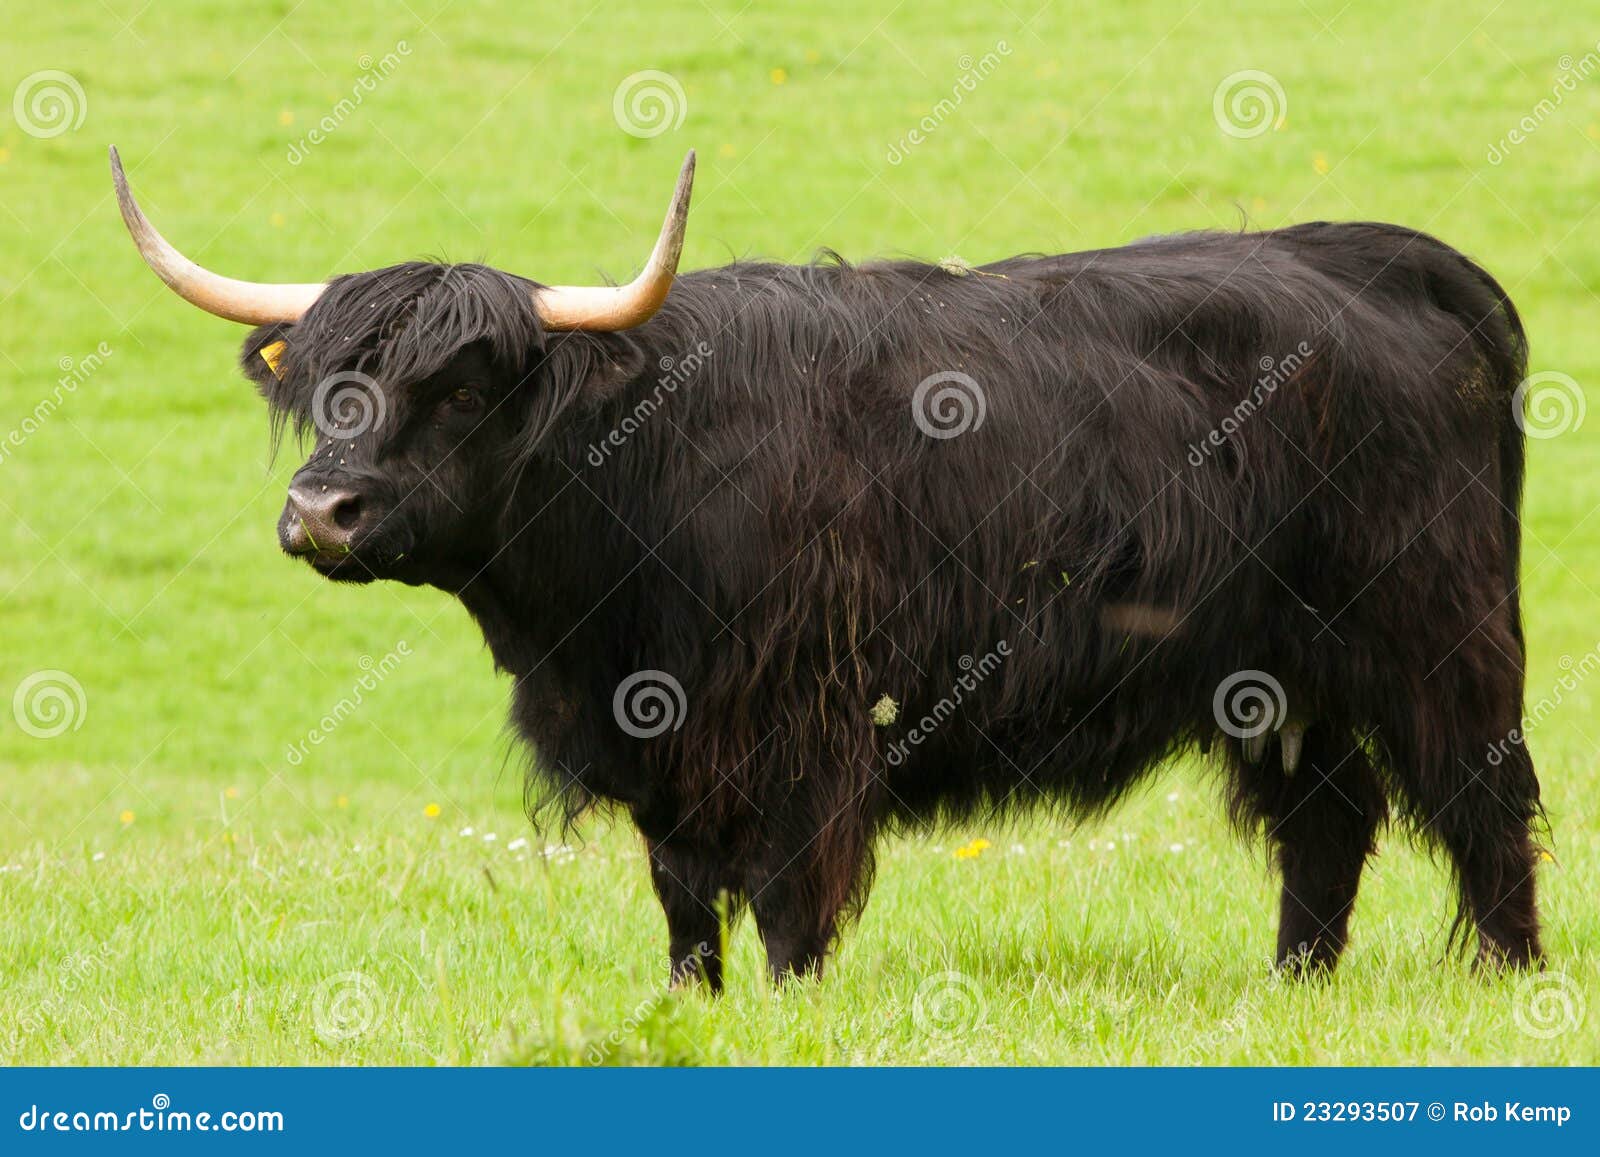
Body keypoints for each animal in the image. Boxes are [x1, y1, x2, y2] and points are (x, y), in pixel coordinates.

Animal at [111, 145, 1544, 989]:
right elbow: (683, 895)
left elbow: (791, 894)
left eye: (462, 387)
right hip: (1278, 672)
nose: (324, 511)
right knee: (1328, 818)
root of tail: (1370, 254)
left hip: (1436, 634)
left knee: (1481, 802)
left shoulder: (802, 721)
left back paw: (1504, 977)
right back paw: (1296, 984)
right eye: (330, 389)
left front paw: (788, 1004)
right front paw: (691, 1004)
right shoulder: (660, 739)